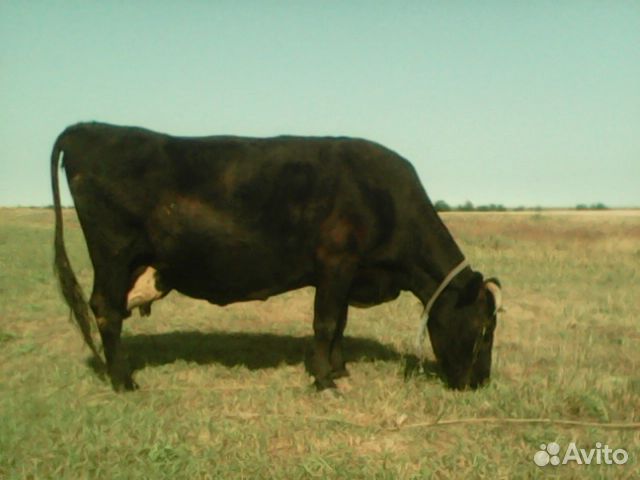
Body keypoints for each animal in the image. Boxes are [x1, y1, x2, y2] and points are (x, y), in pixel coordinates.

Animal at [51, 122, 502, 392]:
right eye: (483, 329)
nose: (480, 382)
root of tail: (87, 128)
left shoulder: (345, 272)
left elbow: (339, 323)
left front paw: (338, 369)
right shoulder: (336, 261)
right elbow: (325, 322)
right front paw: (324, 381)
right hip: (113, 253)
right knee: (106, 310)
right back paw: (123, 381)